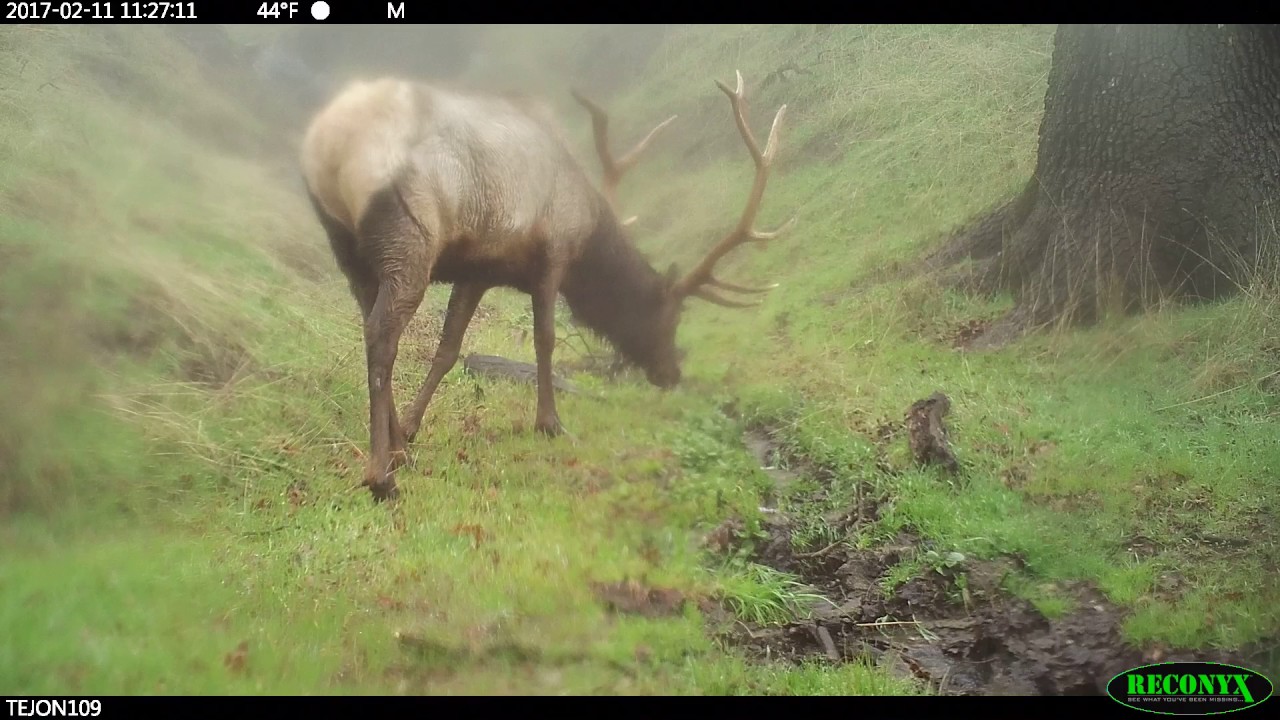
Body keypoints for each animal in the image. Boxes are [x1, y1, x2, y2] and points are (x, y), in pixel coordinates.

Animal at [299, 71, 791, 502]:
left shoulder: (479, 268)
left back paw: (399, 452)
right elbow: (545, 339)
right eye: (670, 317)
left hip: (348, 248)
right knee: (382, 334)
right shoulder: (552, 253)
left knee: (370, 324)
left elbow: (449, 348)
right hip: (410, 235)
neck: (590, 230)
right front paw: (550, 423)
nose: (671, 373)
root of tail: (330, 144)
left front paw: (414, 429)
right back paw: (381, 477)